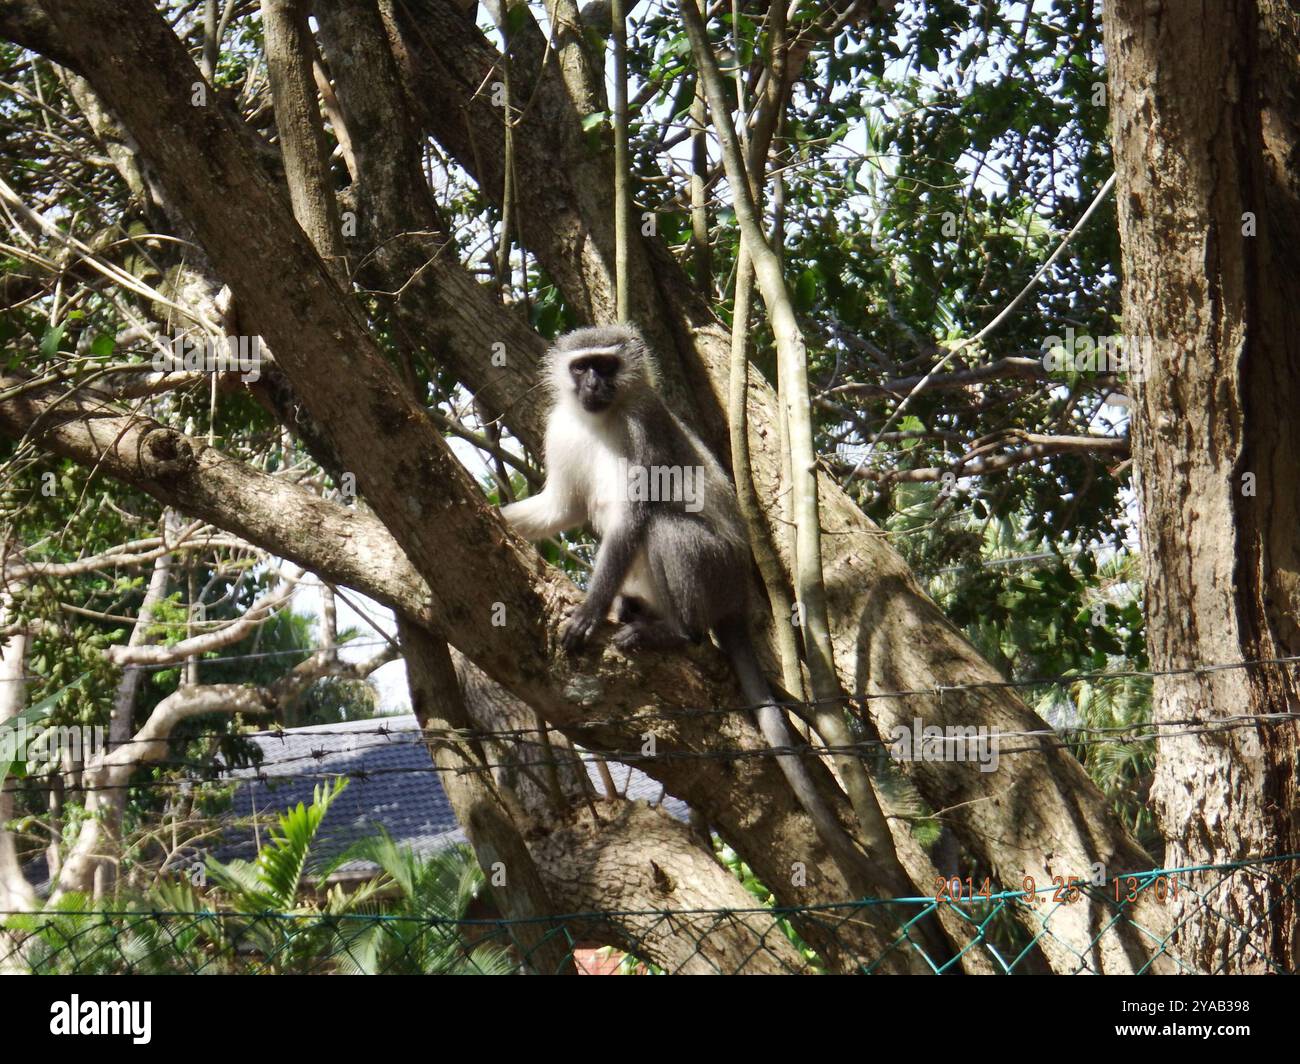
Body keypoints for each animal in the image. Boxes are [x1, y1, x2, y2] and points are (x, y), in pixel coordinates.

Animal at [501, 324, 869, 883]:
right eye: (581, 366)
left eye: (606, 366)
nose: (592, 385)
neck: (600, 420)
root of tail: (739, 598)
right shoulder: (561, 428)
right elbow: (560, 507)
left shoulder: (642, 431)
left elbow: (632, 519)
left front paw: (588, 612)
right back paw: (636, 613)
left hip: (715, 572)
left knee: (661, 524)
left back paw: (676, 632)